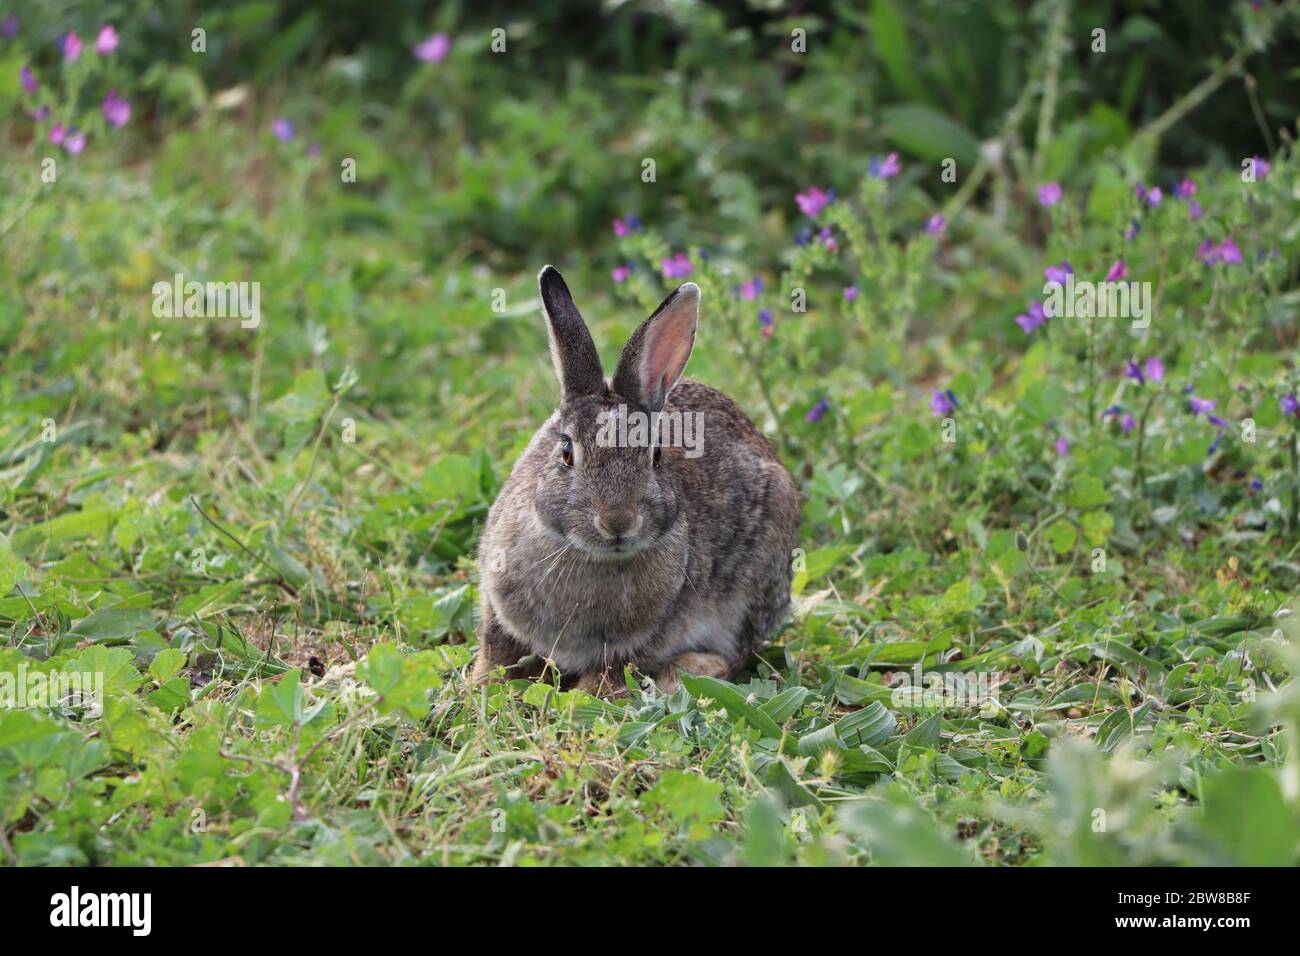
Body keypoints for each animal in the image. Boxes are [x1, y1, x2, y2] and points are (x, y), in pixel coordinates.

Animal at [472, 265, 800, 697]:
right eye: (566, 453)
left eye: (656, 456)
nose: (617, 521)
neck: (588, 556)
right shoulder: (496, 603)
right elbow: (495, 649)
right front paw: (479, 685)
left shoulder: (643, 640)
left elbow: (610, 673)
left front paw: (582, 699)